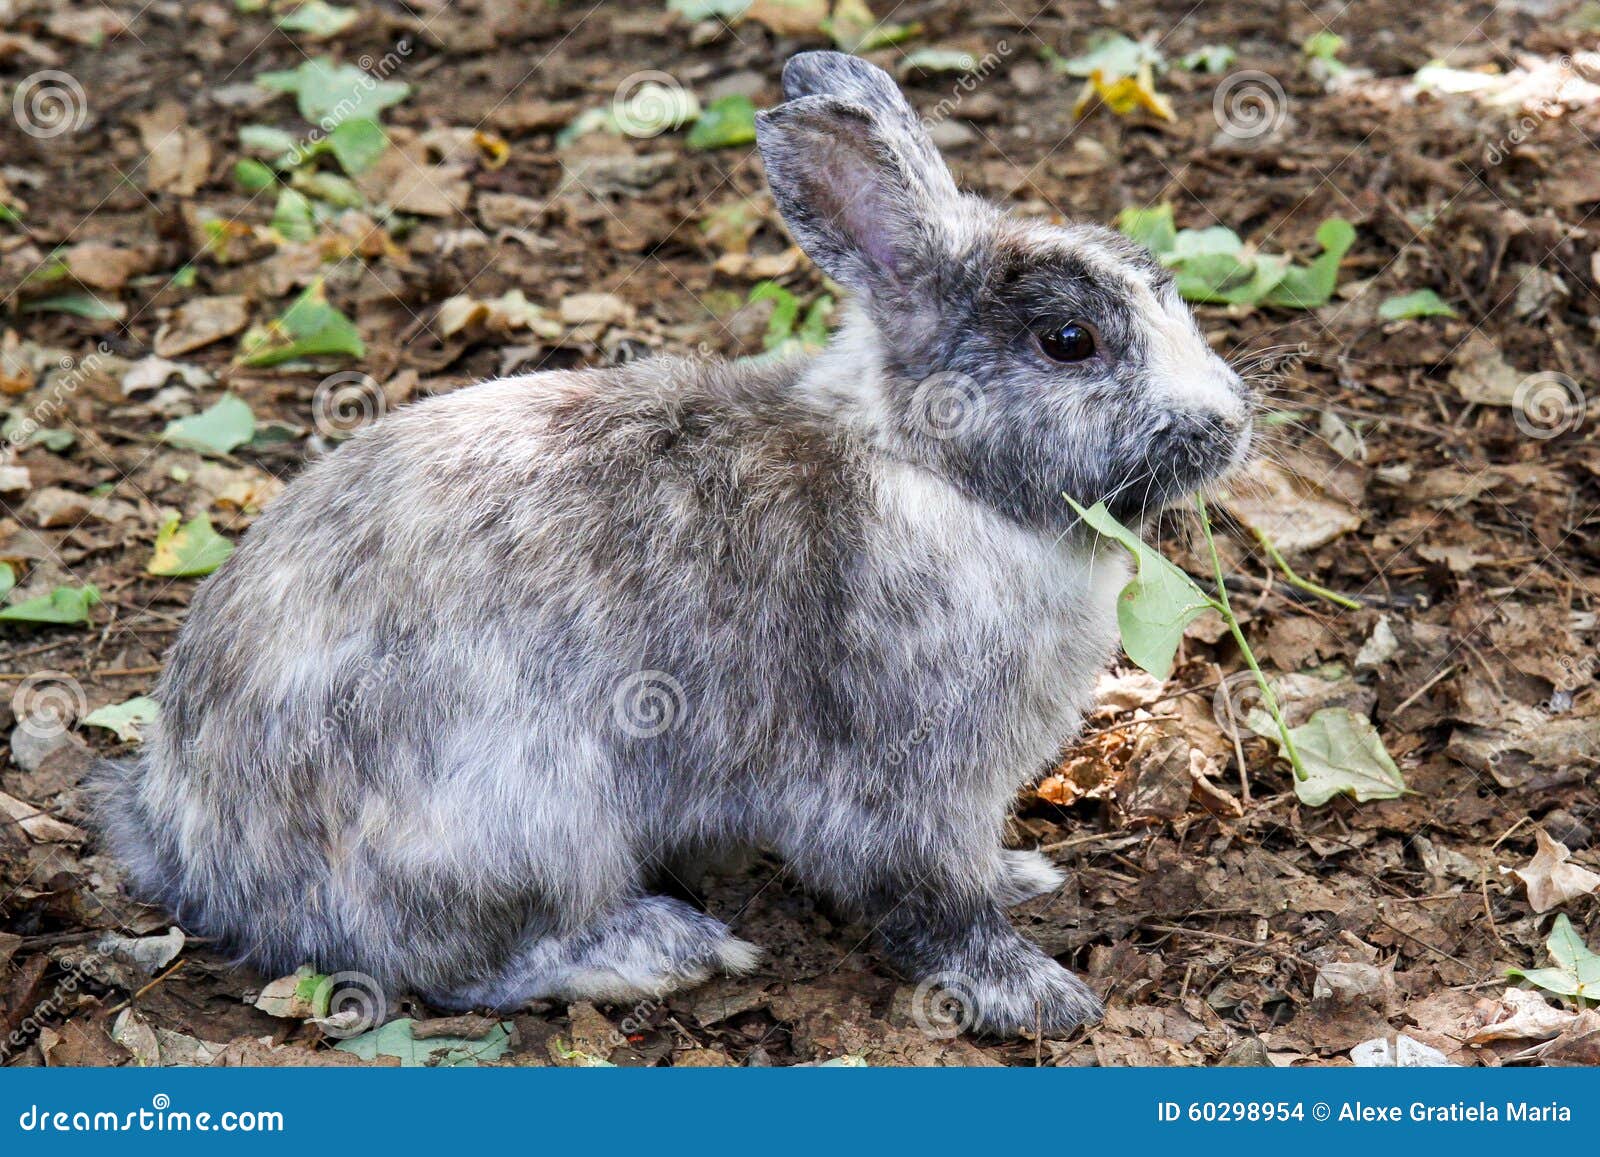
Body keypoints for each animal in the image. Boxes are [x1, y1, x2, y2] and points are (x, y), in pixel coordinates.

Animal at [92, 50, 1252, 1038]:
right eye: (1069, 341)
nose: (1229, 423)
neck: (929, 466)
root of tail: (197, 843)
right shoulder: (903, 780)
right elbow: (930, 896)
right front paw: (1035, 992)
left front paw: (1025, 876)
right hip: (525, 812)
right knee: (455, 962)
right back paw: (663, 949)